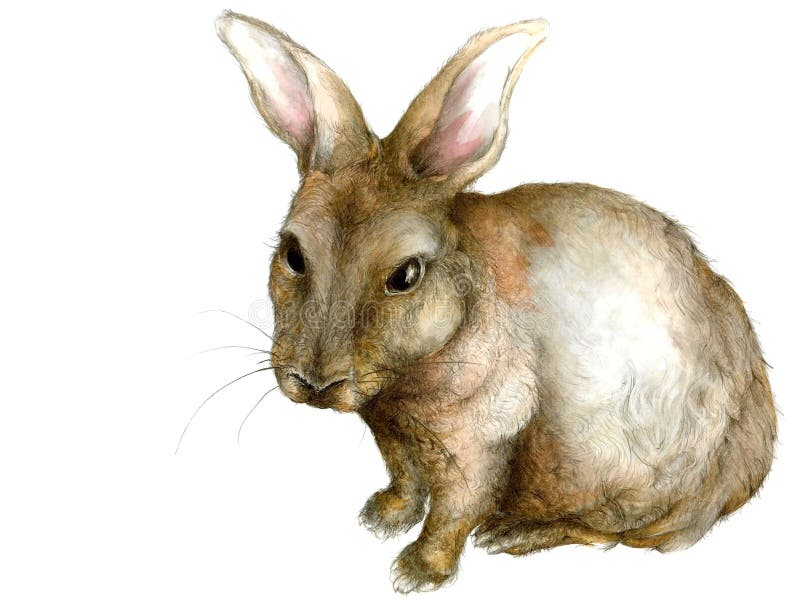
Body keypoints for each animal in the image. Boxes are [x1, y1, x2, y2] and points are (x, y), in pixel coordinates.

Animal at [215, 11, 776, 593]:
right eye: (292, 253)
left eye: (406, 275)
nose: (315, 383)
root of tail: (742, 476)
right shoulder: (393, 433)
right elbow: (406, 477)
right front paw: (383, 515)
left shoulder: (484, 436)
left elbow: (455, 509)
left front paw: (417, 573)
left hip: (626, 473)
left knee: (619, 532)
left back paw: (516, 533)